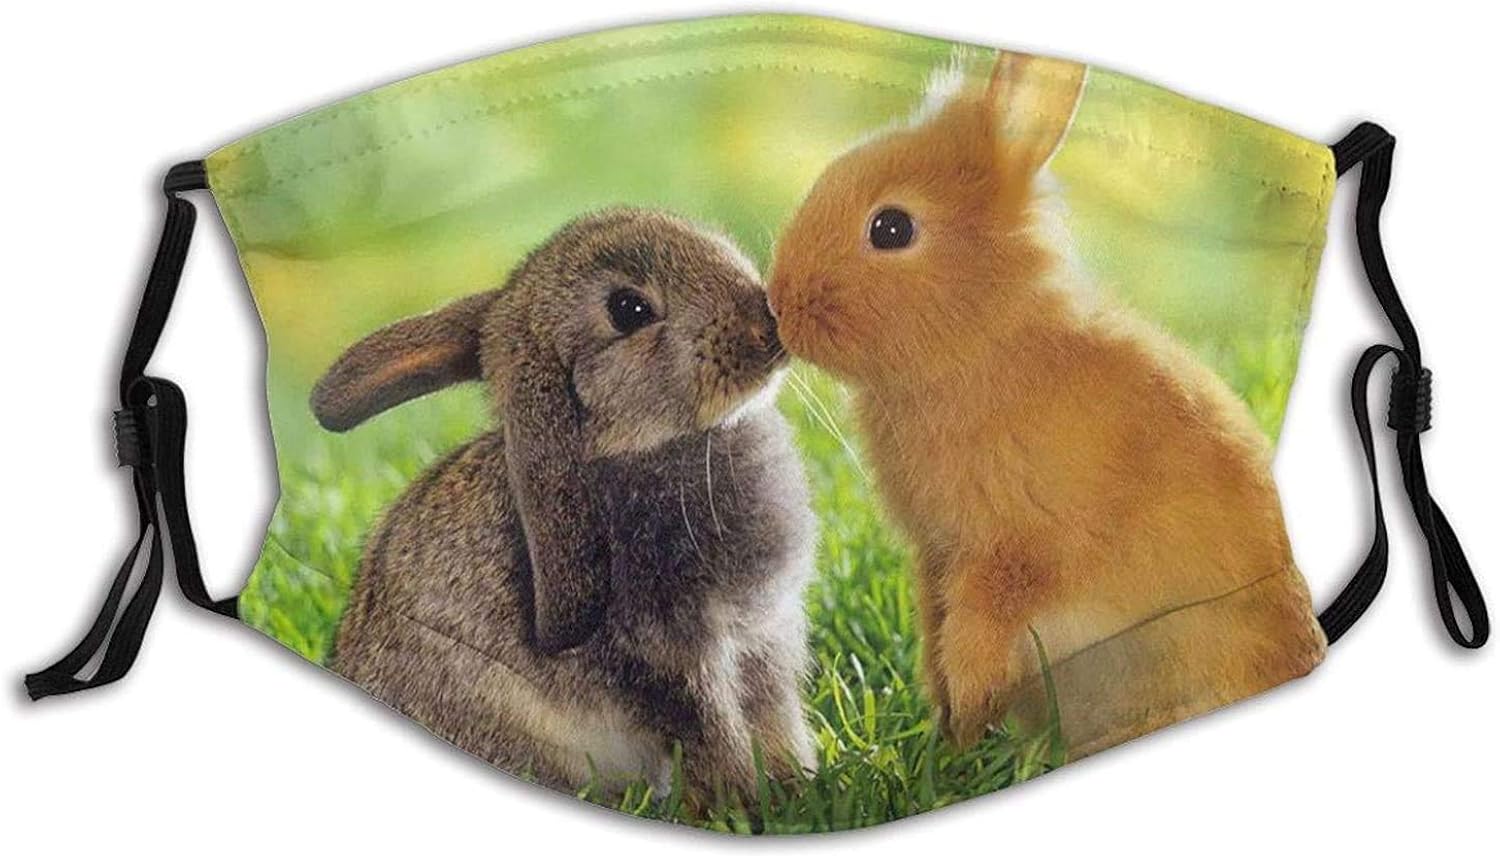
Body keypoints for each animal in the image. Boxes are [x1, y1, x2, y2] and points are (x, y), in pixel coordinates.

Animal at [311, 208, 818, 800]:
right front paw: (745, 801)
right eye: (628, 309)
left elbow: (774, 718)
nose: (767, 324)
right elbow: (713, 732)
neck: (631, 446)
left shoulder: (763, 637)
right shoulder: (670, 651)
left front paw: (797, 784)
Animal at [767, 52, 1326, 755]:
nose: (777, 303)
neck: (982, 339)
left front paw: (968, 718)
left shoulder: (1015, 553)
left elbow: (977, 629)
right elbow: (935, 629)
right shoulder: (936, 555)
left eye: (890, 227)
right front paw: (950, 730)